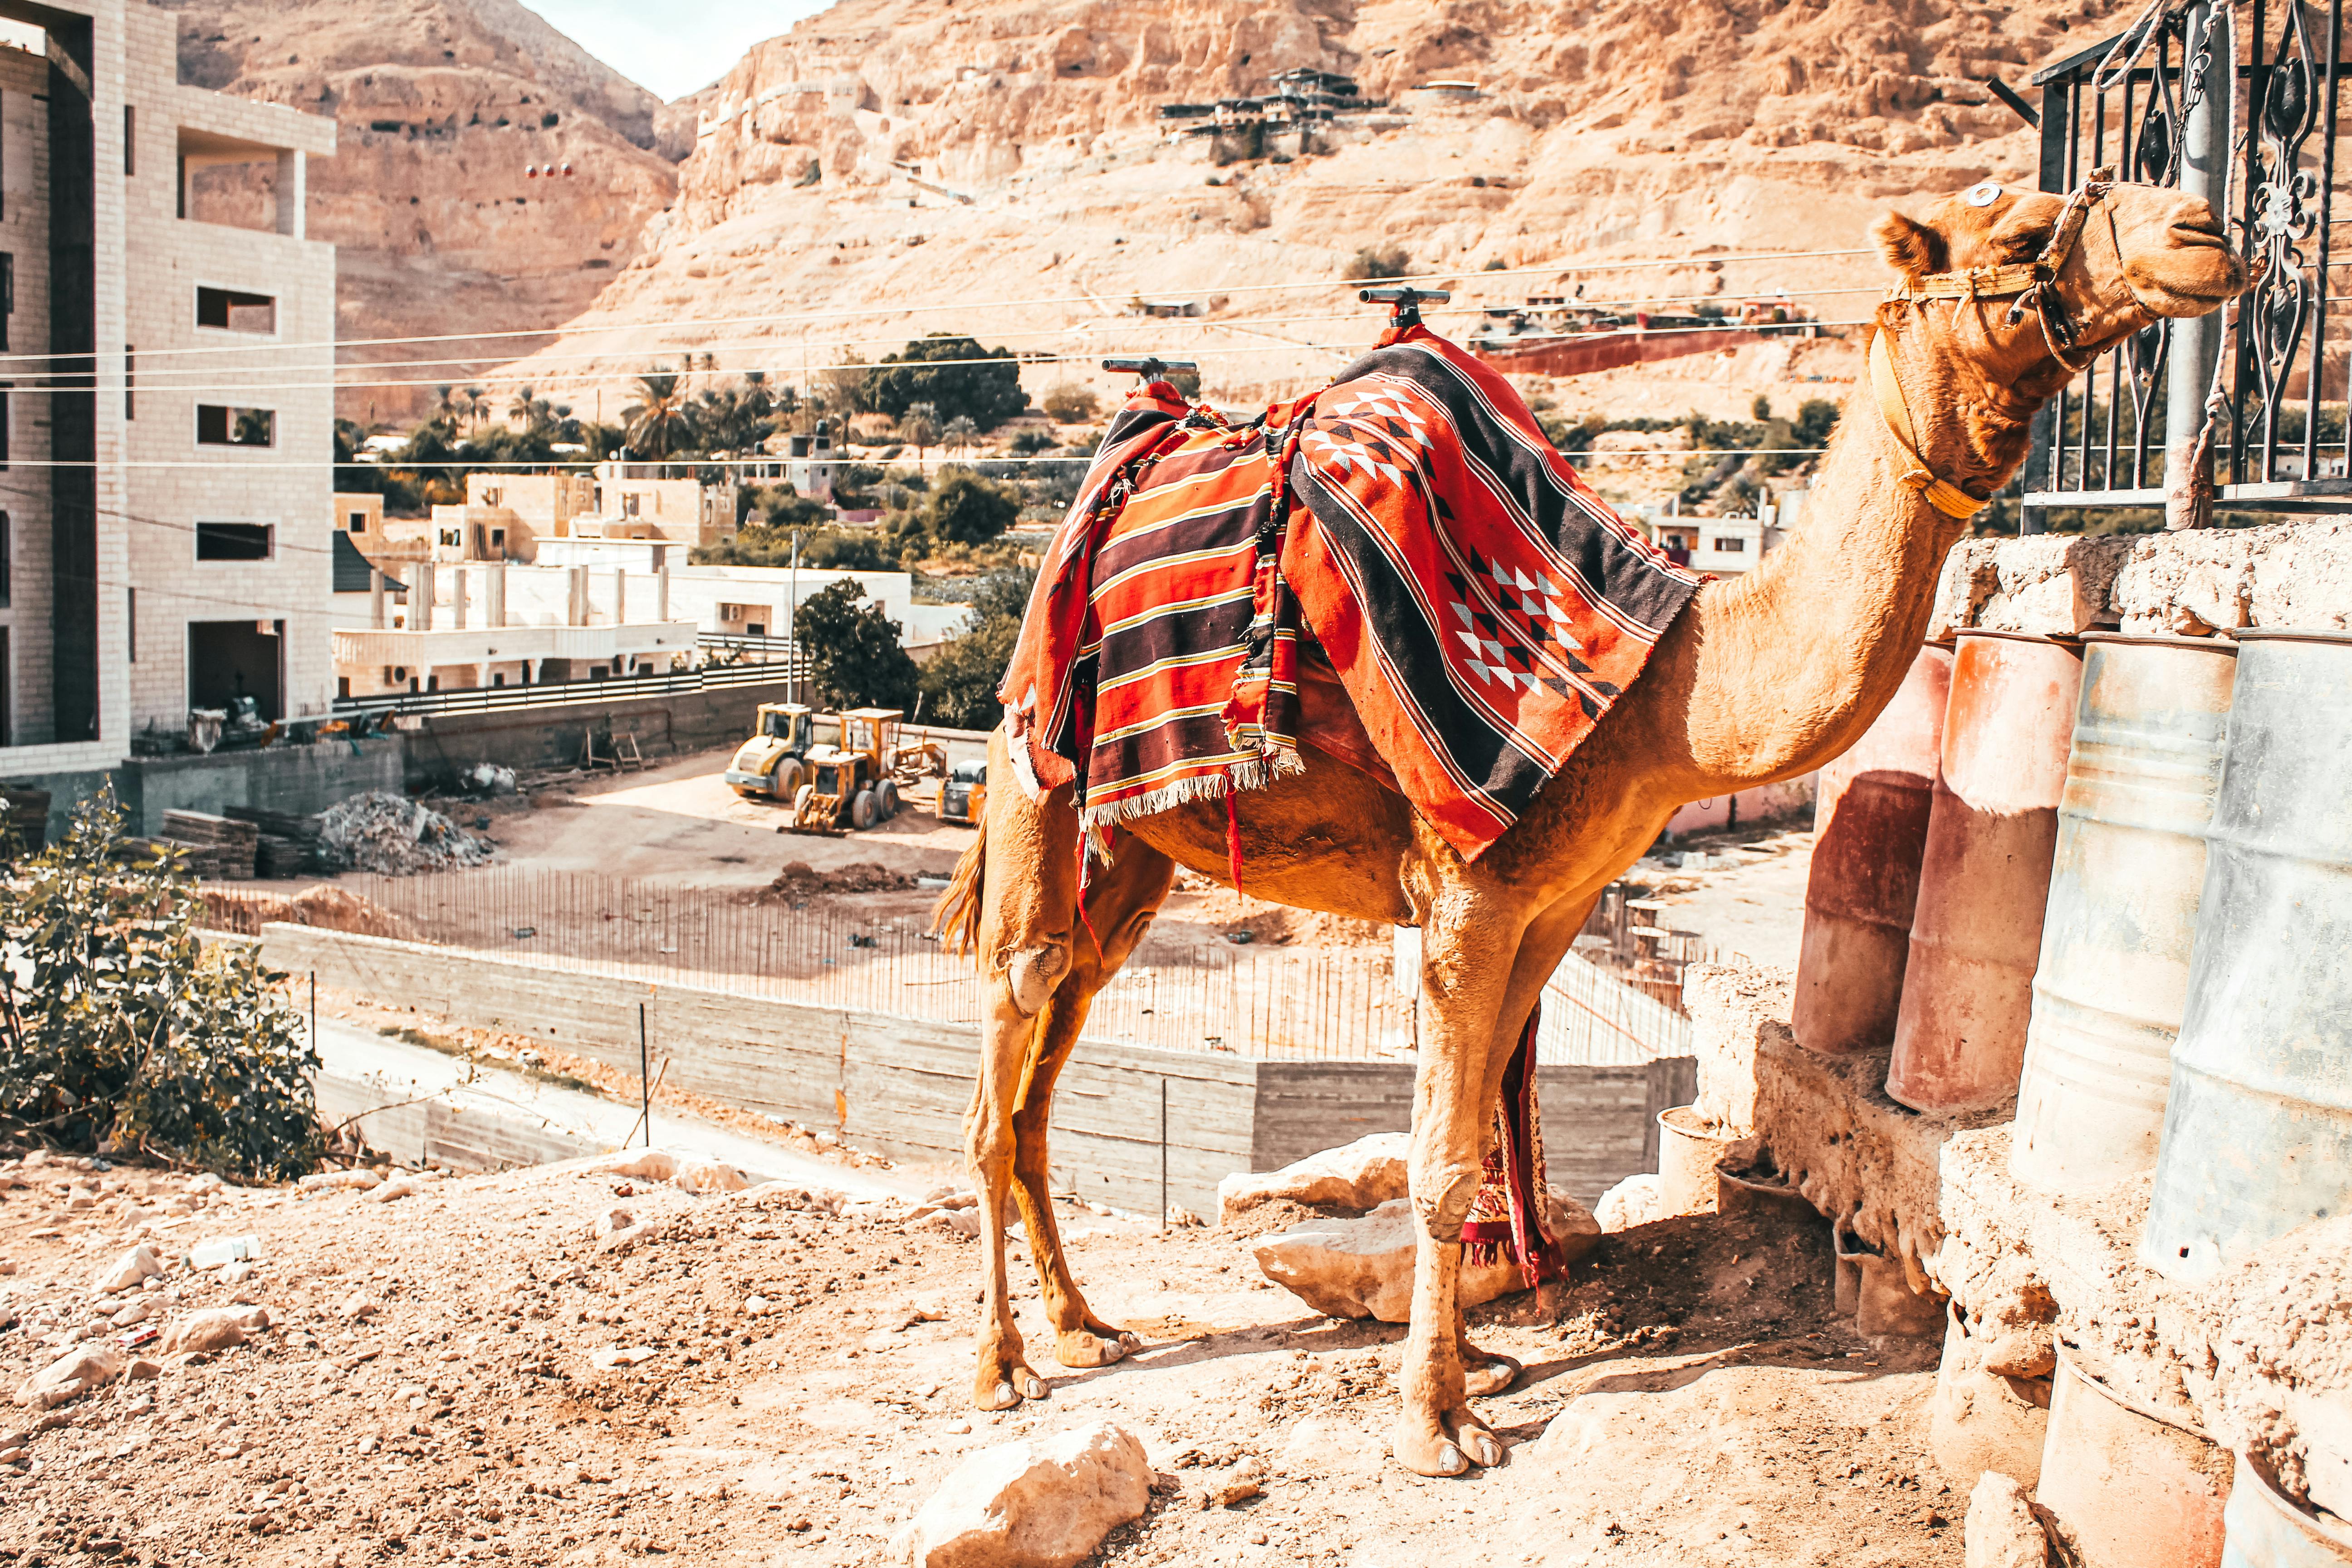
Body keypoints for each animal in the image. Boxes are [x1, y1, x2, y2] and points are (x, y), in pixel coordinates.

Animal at [934, 178, 2245, 1477]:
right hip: (1038, 779)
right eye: (2022, 229)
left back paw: (1087, 1324)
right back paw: (1004, 1366)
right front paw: (1436, 1423)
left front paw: (1483, 1362)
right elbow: (1441, 1161)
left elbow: (1483, 1141)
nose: (2203, 231)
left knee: (1048, 1068)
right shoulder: (1466, 892)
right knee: (1003, 1059)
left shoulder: (1554, 905)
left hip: (1131, 861)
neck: (1670, 692)